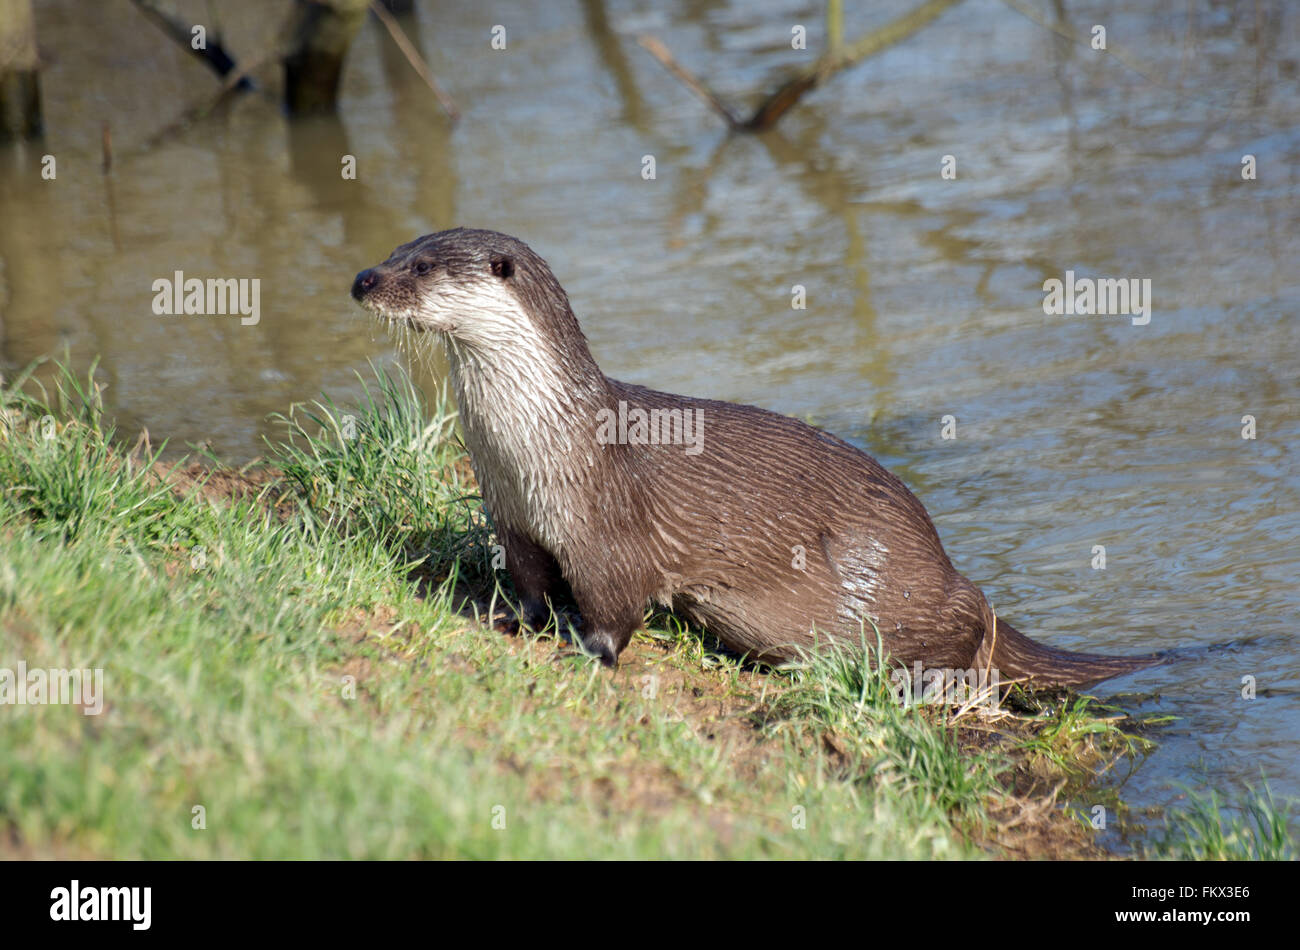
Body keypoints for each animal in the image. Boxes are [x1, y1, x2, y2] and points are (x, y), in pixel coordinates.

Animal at [351, 228, 1159, 688]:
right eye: (391, 251)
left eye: (420, 266)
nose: (362, 278)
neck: (534, 445)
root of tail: (945, 563)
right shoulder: (513, 518)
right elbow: (528, 586)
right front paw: (505, 620)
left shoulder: (607, 528)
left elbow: (616, 604)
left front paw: (590, 652)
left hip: (900, 590)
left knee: (963, 630)